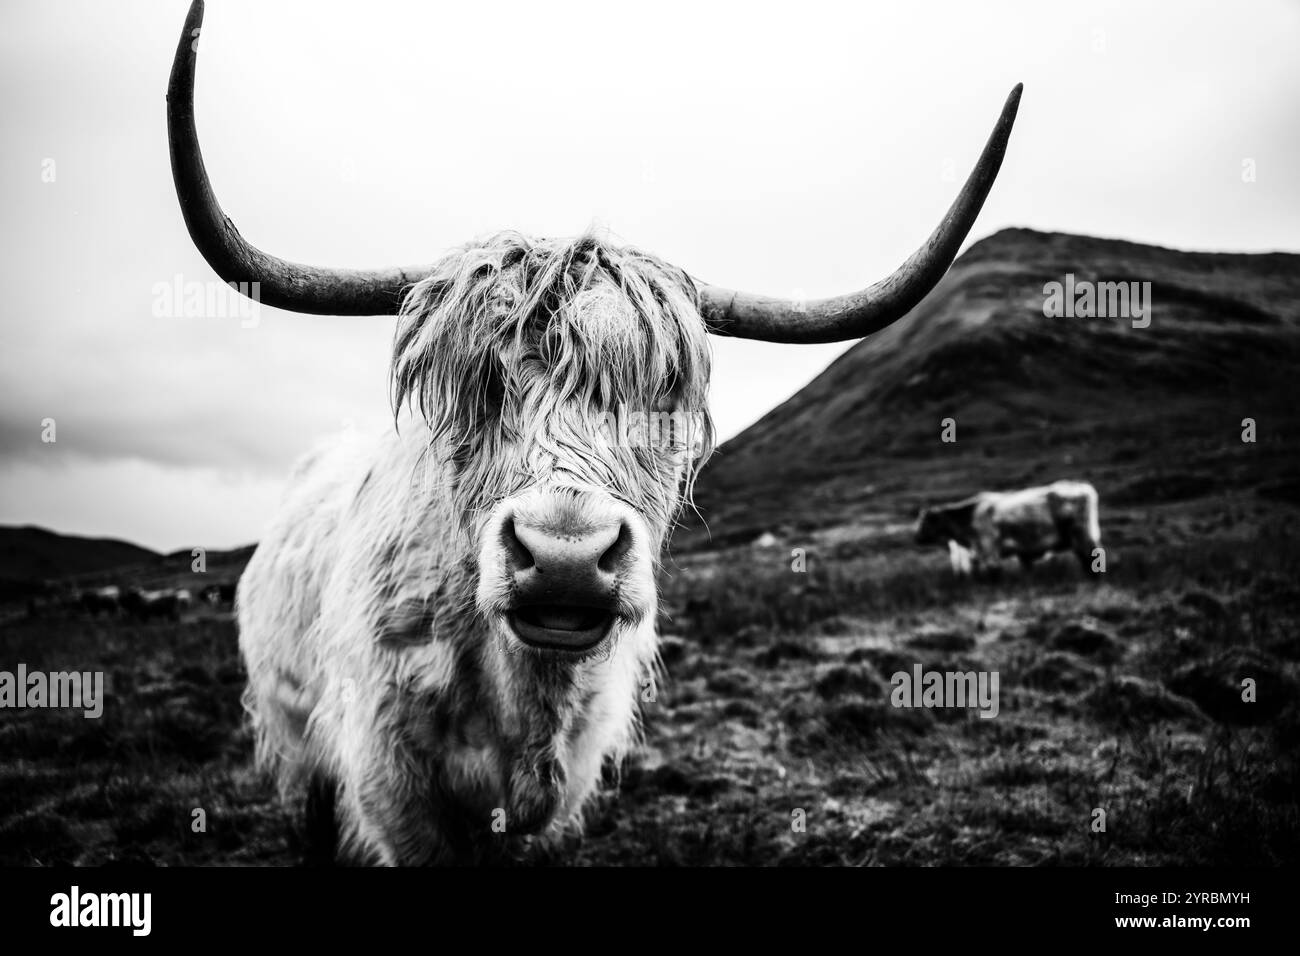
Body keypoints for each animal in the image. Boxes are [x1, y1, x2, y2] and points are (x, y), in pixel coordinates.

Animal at [916, 480, 1102, 577]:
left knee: (1091, 559)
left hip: (1082, 537)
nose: (917, 537)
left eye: (925, 521)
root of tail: (1082, 487)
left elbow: (994, 574)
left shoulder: (989, 549)